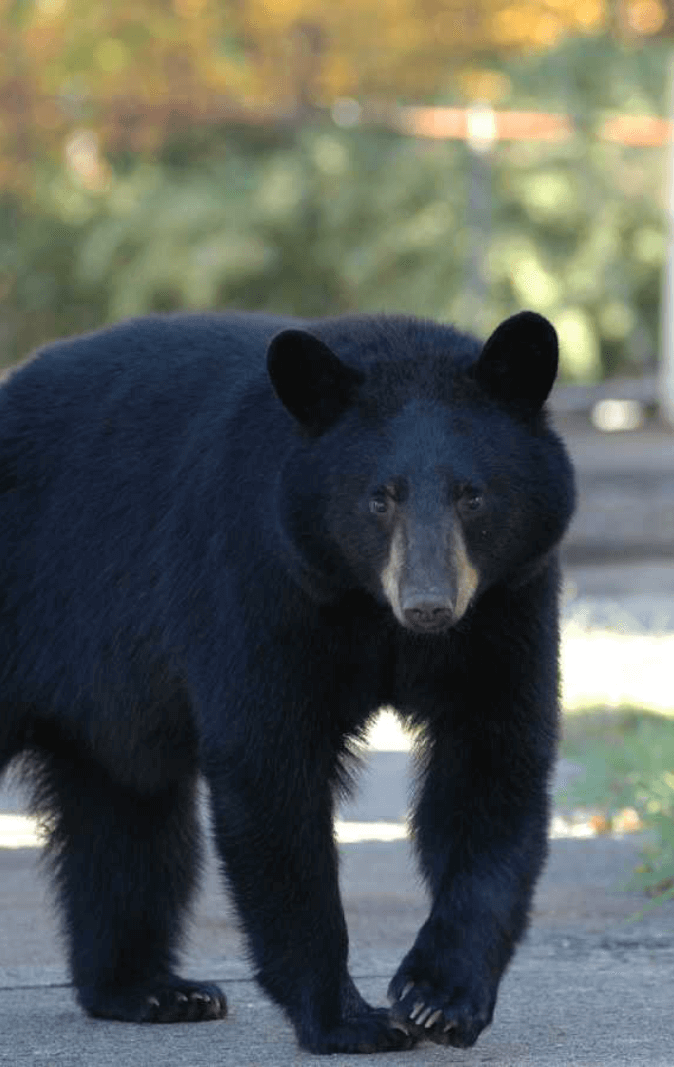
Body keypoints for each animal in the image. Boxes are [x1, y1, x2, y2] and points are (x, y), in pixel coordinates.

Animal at [0, 309, 575, 1054]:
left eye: (471, 495)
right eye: (379, 498)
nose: (428, 604)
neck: (369, 608)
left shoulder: (506, 607)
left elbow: (493, 764)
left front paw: (440, 996)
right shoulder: (262, 581)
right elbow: (271, 769)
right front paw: (348, 1018)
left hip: (110, 707)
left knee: (128, 815)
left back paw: (154, 989)